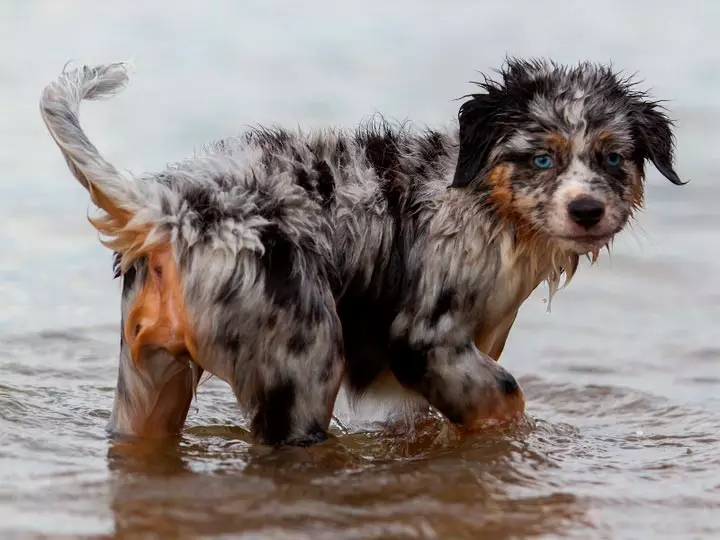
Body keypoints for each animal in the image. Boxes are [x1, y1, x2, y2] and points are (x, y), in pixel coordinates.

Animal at [39, 59, 688, 446]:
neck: (482, 202)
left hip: (148, 384)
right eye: (542, 158)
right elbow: (508, 398)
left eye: (613, 158)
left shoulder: (451, 361)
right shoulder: (425, 340)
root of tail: (169, 210)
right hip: (305, 362)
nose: (587, 210)